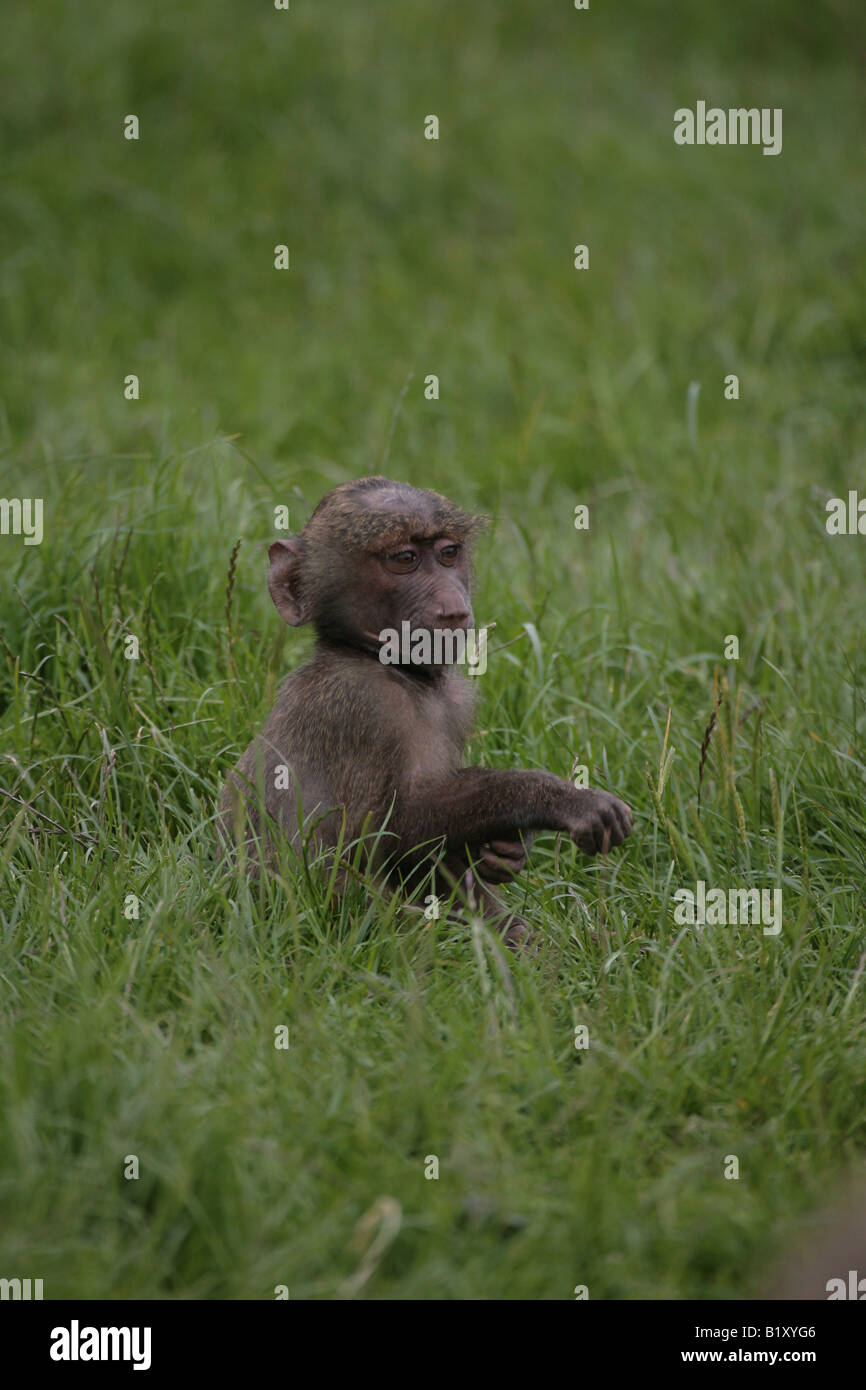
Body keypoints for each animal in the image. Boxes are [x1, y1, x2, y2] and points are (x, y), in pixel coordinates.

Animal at [218, 476, 632, 946]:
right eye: (405, 559)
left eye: (448, 553)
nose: (452, 606)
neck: (392, 669)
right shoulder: (361, 705)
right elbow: (386, 831)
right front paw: (559, 799)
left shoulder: (456, 701)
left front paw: (507, 850)